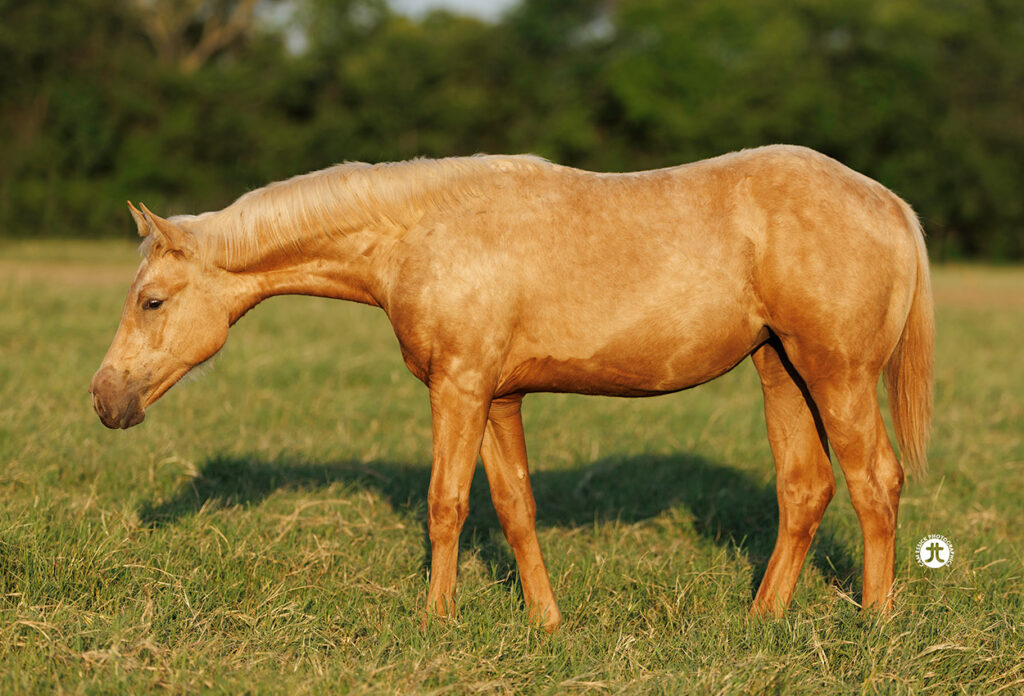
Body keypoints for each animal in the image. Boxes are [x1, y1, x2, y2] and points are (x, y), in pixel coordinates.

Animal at [90, 145, 933, 631]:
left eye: (151, 301)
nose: (105, 399)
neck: (423, 232)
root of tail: (891, 203)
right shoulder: (497, 398)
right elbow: (516, 508)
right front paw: (546, 624)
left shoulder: (460, 388)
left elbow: (446, 505)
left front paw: (437, 622)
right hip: (781, 371)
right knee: (806, 488)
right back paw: (760, 620)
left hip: (836, 377)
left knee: (875, 483)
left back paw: (875, 625)